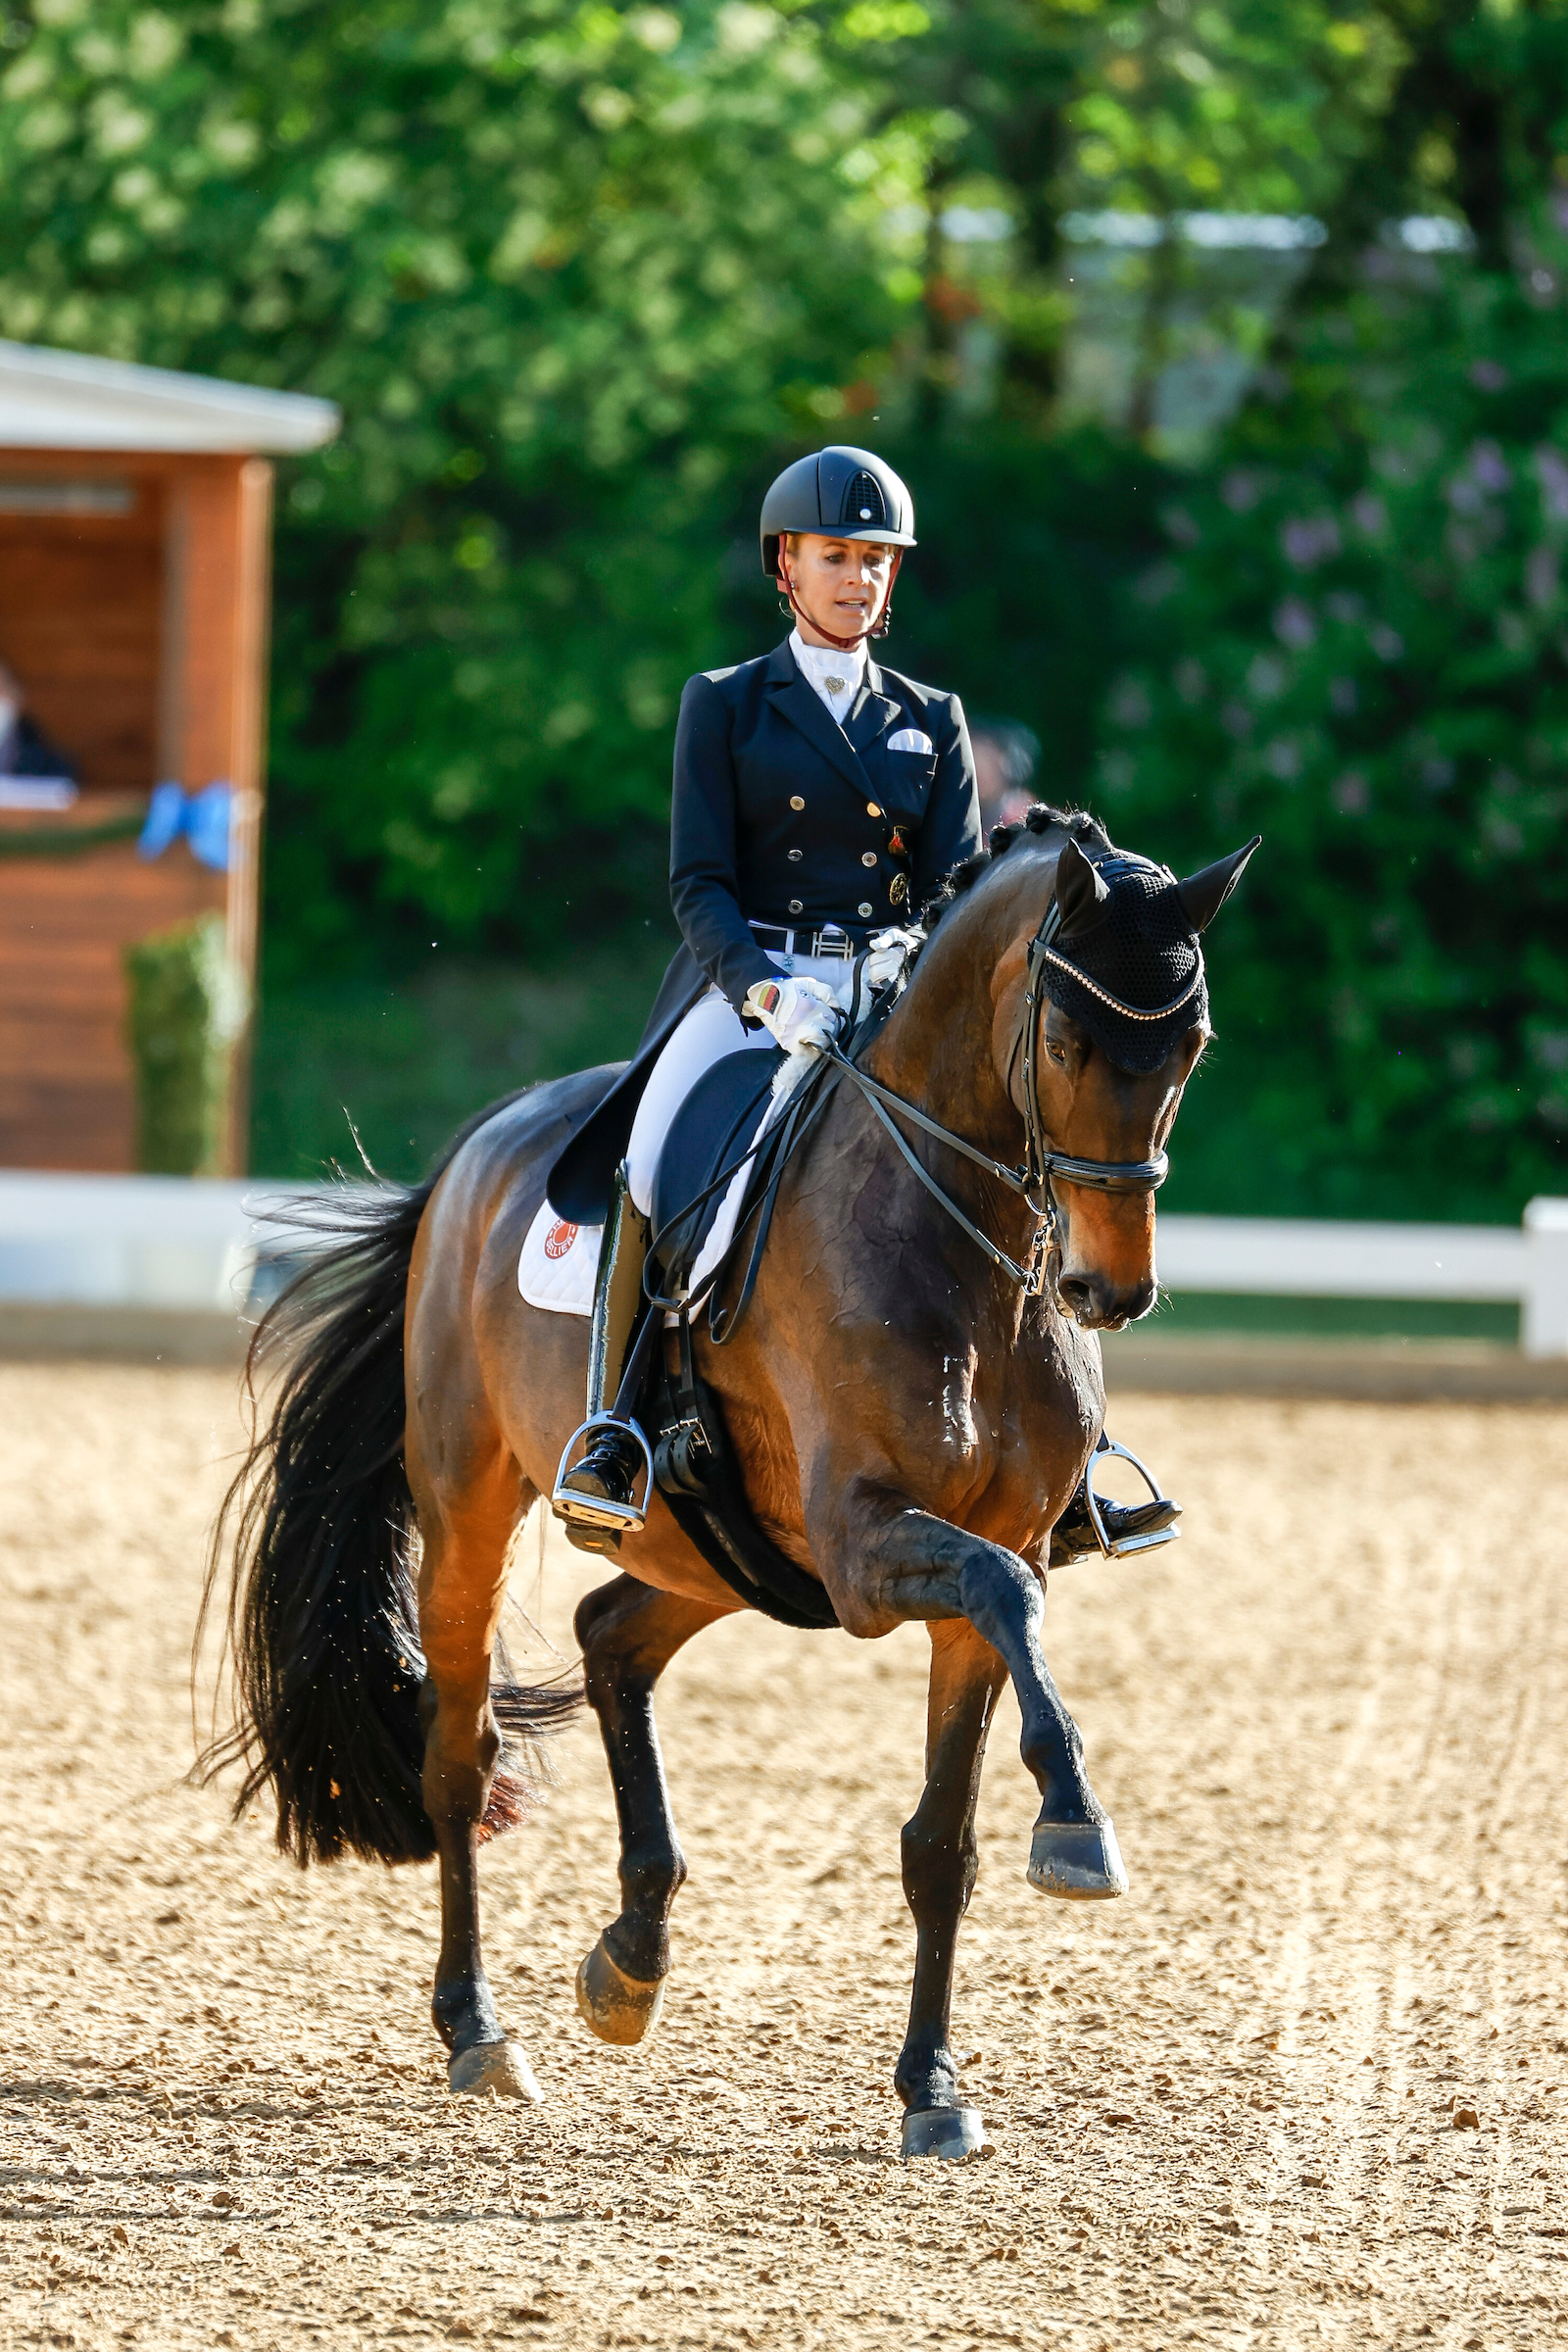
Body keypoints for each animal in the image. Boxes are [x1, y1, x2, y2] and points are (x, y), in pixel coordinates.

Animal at [202, 804, 1256, 2160]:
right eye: (1067, 1039)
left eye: (1191, 1044)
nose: (1105, 1291)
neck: (960, 1245)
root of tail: (475, 1153)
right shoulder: (867, 1547)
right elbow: (1005, 1601)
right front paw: (1076, 1824)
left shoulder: (992, 1544)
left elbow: (944, 1835)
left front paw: (932, 2086)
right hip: (473, 1508)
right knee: (458, 1752)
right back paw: (478, 2030)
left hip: (714, 1549)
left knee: (612, 1635)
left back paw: (630, 1957)